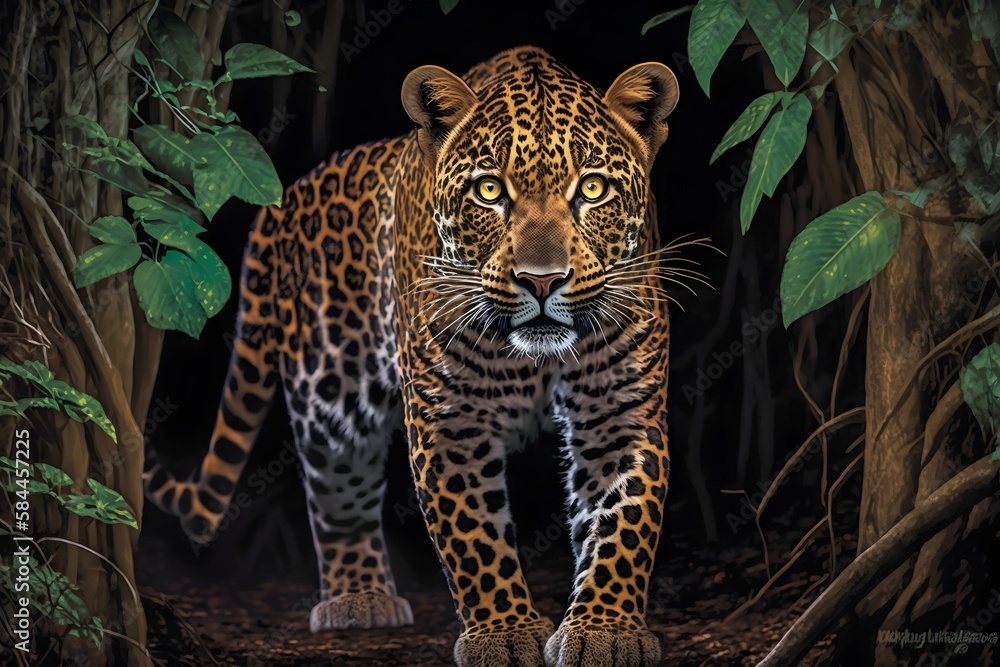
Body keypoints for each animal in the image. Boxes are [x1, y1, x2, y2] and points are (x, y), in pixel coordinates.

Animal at [144, 46, 682, 667]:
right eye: (489, 192)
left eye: (593, 190)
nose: (541, 280)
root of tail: (286, 194)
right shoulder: (451, 421)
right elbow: (475, 538)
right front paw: (503, 633)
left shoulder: (620, 413)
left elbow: (624, 525)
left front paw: (605, 630)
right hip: (330, 384)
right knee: (336, 486)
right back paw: (358, 597)